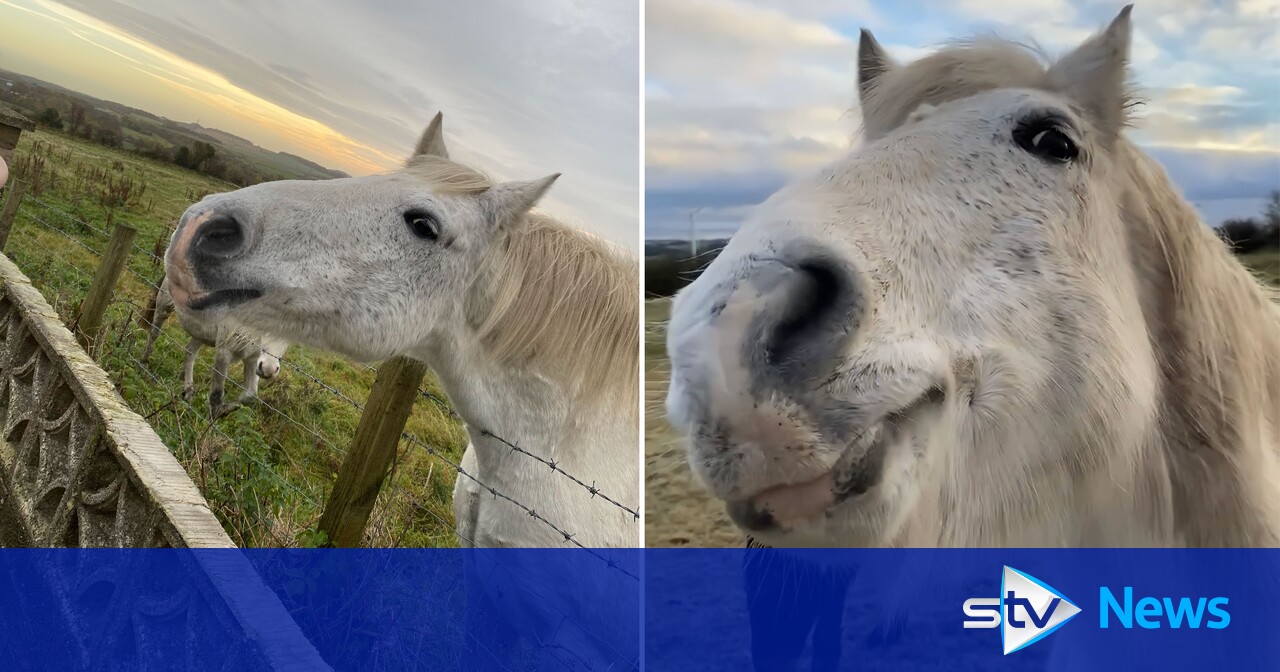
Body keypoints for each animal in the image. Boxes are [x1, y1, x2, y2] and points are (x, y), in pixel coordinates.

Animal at [140, 275, 290, 418]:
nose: (269, 370)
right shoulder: (223, 354)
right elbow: (216, 396)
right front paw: (210, 420)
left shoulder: (253, 359)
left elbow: (250, 394)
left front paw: (225, 410)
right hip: (164, 307)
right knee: (154, 334)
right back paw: (144, 365)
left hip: (200, 331)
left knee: (190, 351)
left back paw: (188, 391)